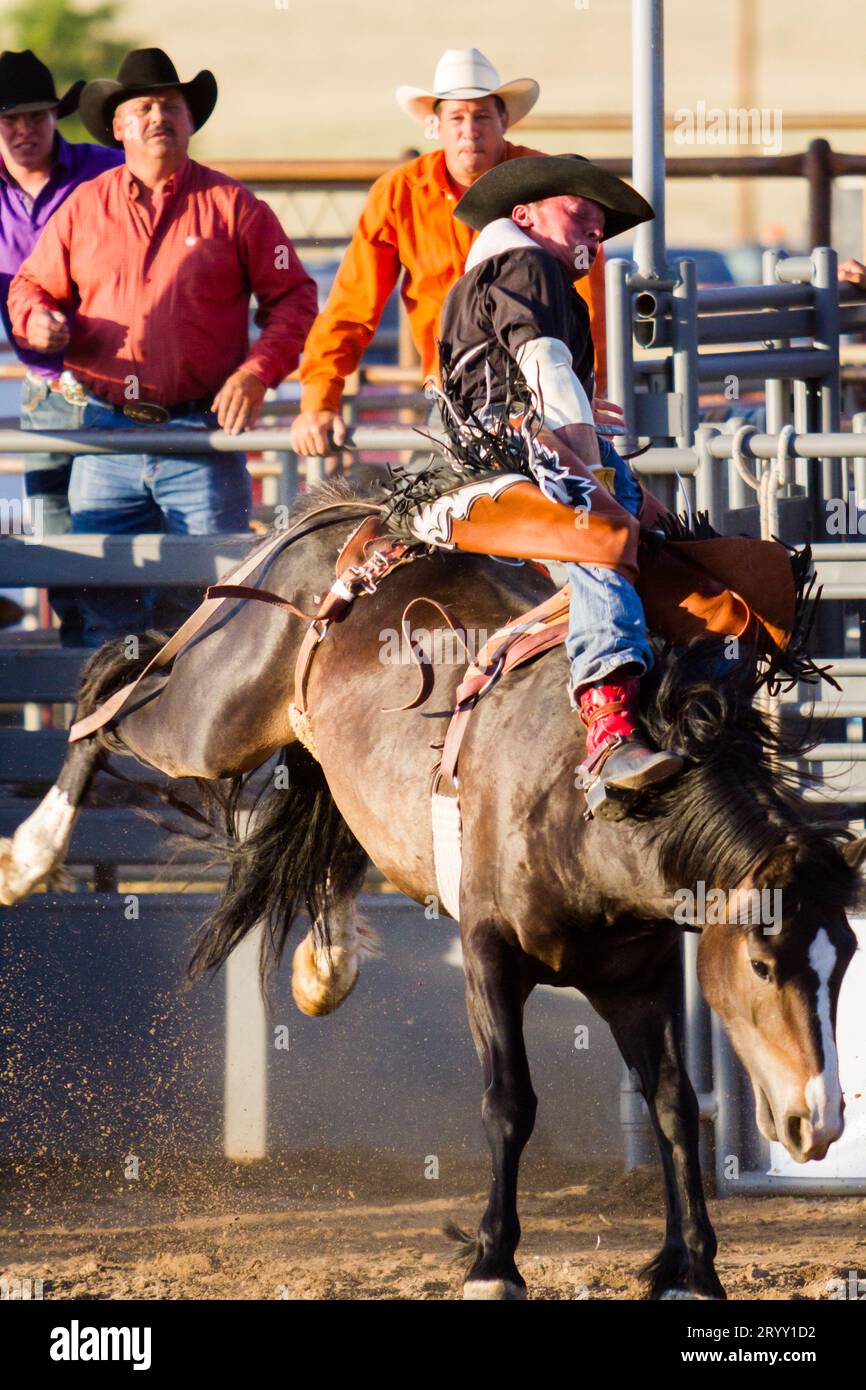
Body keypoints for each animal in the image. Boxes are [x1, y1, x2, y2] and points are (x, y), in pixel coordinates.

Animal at [1, 481, 861, 1301]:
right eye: (761, 964)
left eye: (846, 959)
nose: (817, 1124)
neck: (592, 802)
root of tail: (347, 520)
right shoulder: (489, 952)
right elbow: (510, 1103)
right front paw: (493, 1262)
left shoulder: (635, 979)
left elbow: (675, 1107)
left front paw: (694, 1268)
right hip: (211, 723)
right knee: (111, 680)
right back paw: (30, 854)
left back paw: (325, 968)